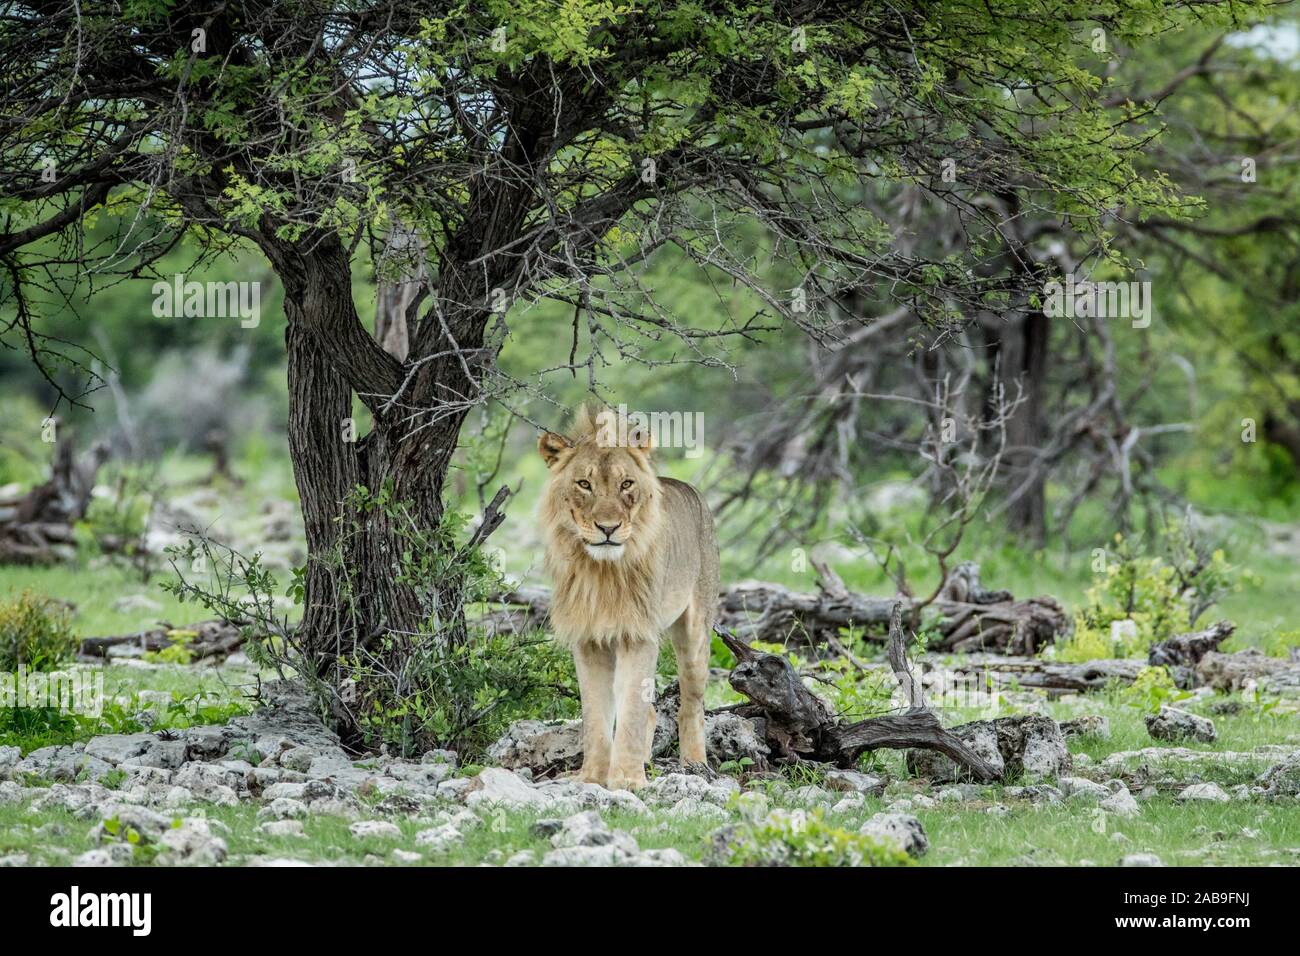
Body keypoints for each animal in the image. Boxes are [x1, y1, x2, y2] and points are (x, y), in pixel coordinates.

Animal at [538, 406, 720, 791]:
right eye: (584, 484)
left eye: (626, 484)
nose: (608, 528)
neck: (601, 572)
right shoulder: (588, 639)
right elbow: (595, 713)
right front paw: (592, 776)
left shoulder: (638, 635)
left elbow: (632, 710)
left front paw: (627, 780)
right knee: (650, 710)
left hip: (696, 630)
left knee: (691, 703)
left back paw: (695, 765)